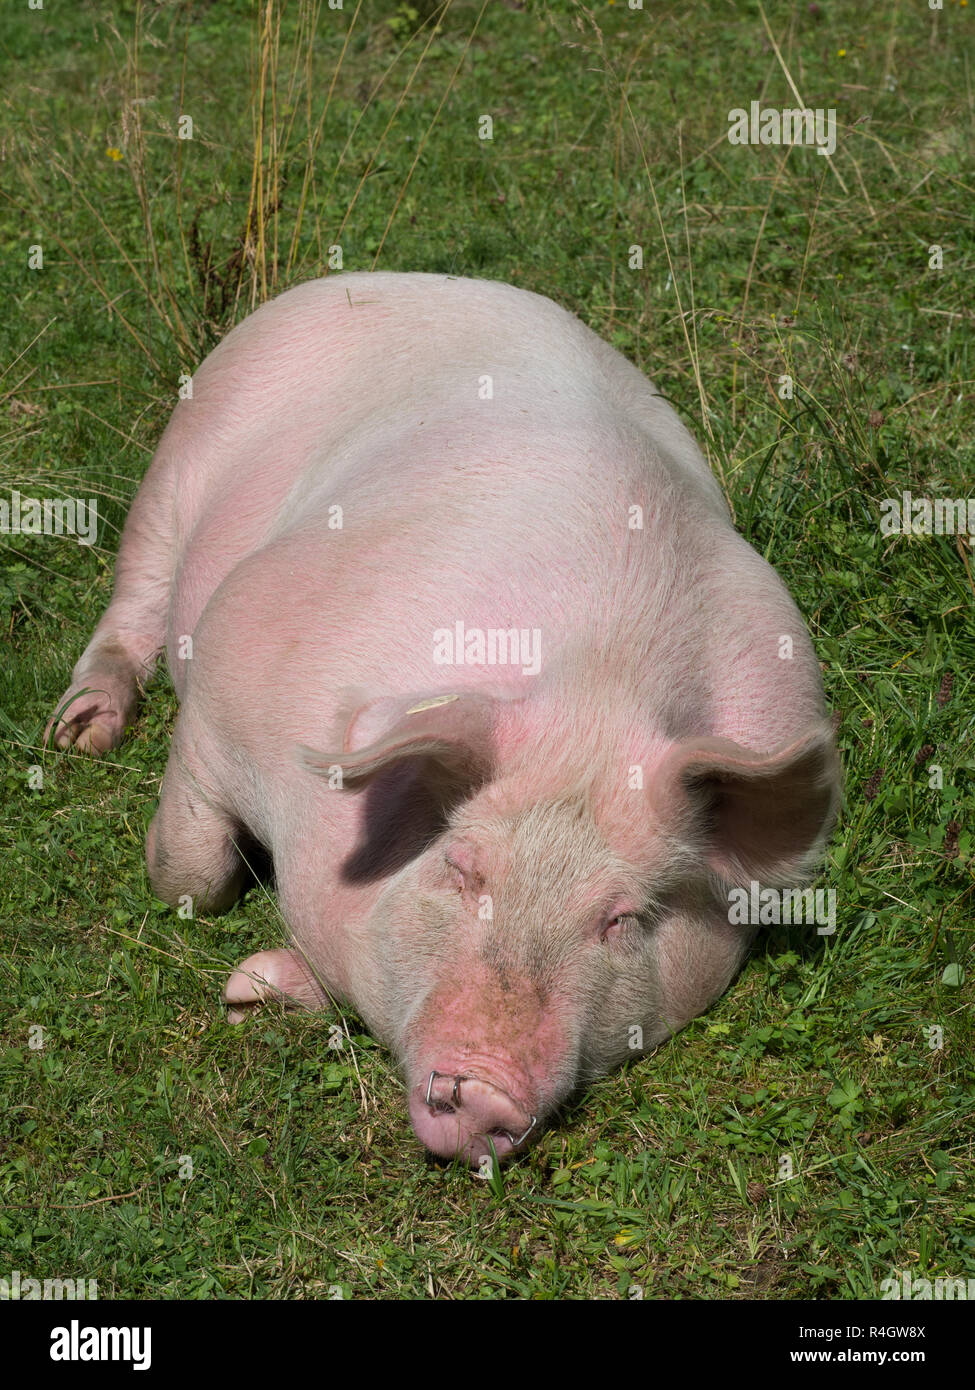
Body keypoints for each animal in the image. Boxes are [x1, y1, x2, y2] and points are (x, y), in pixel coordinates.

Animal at [47, 272, 840, 1166]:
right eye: (461, 868)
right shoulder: (224, 679)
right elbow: (189, 874)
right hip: (184, 453)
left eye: (623, 918)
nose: (483, 1088)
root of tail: (411, 277)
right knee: (135, 597)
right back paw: (77, 734)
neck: (601, 682)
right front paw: (237, 987)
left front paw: (251, 985)